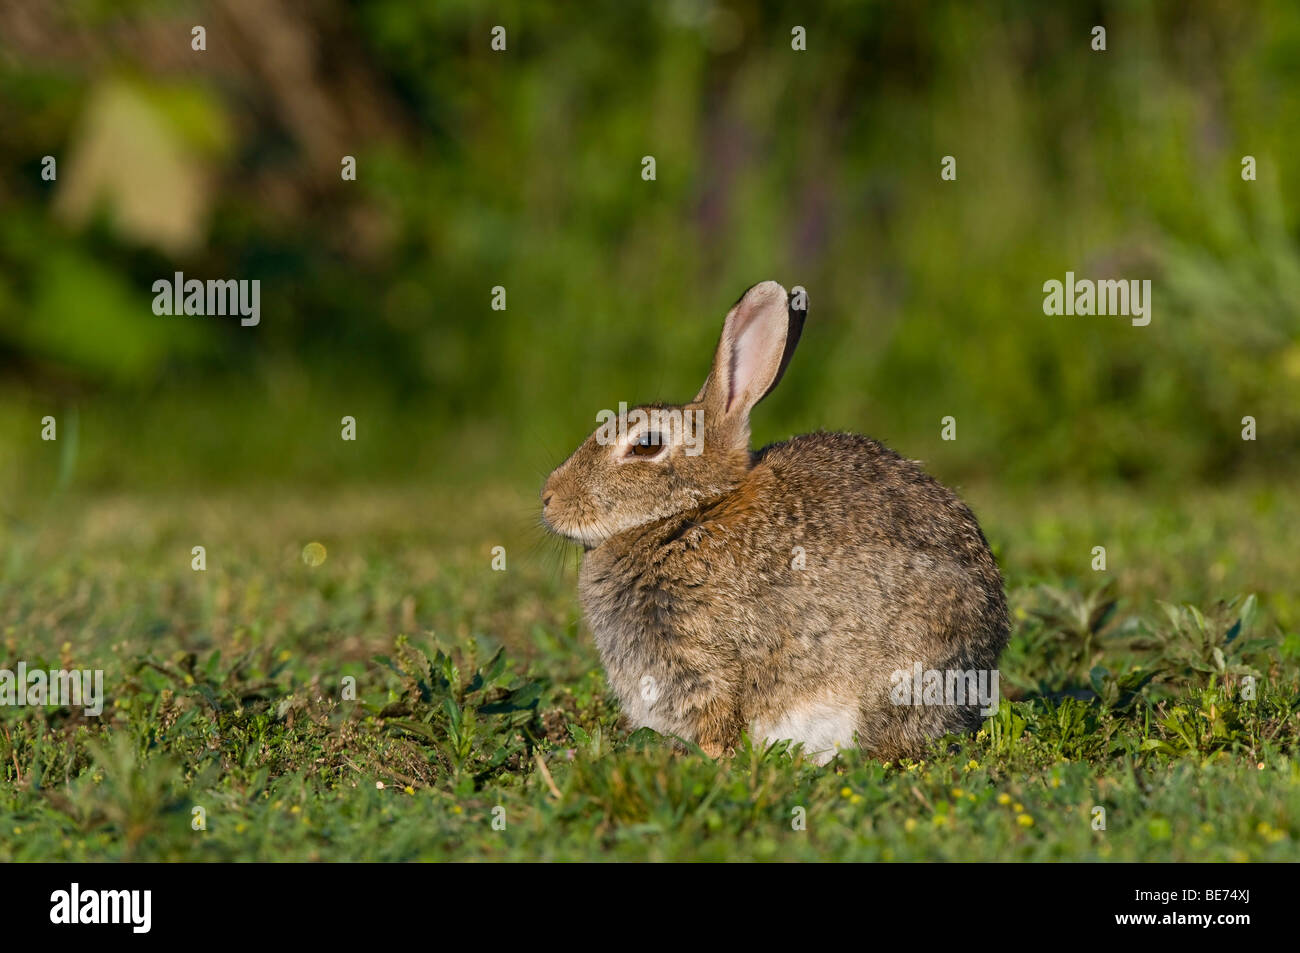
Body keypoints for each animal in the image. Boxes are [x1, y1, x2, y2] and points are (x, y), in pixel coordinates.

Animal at [541, 281, 1009, 763]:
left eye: (646, 445)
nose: (549, 500)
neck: (688, 516)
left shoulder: (709, 660)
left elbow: (719, 718)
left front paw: (710, 760)